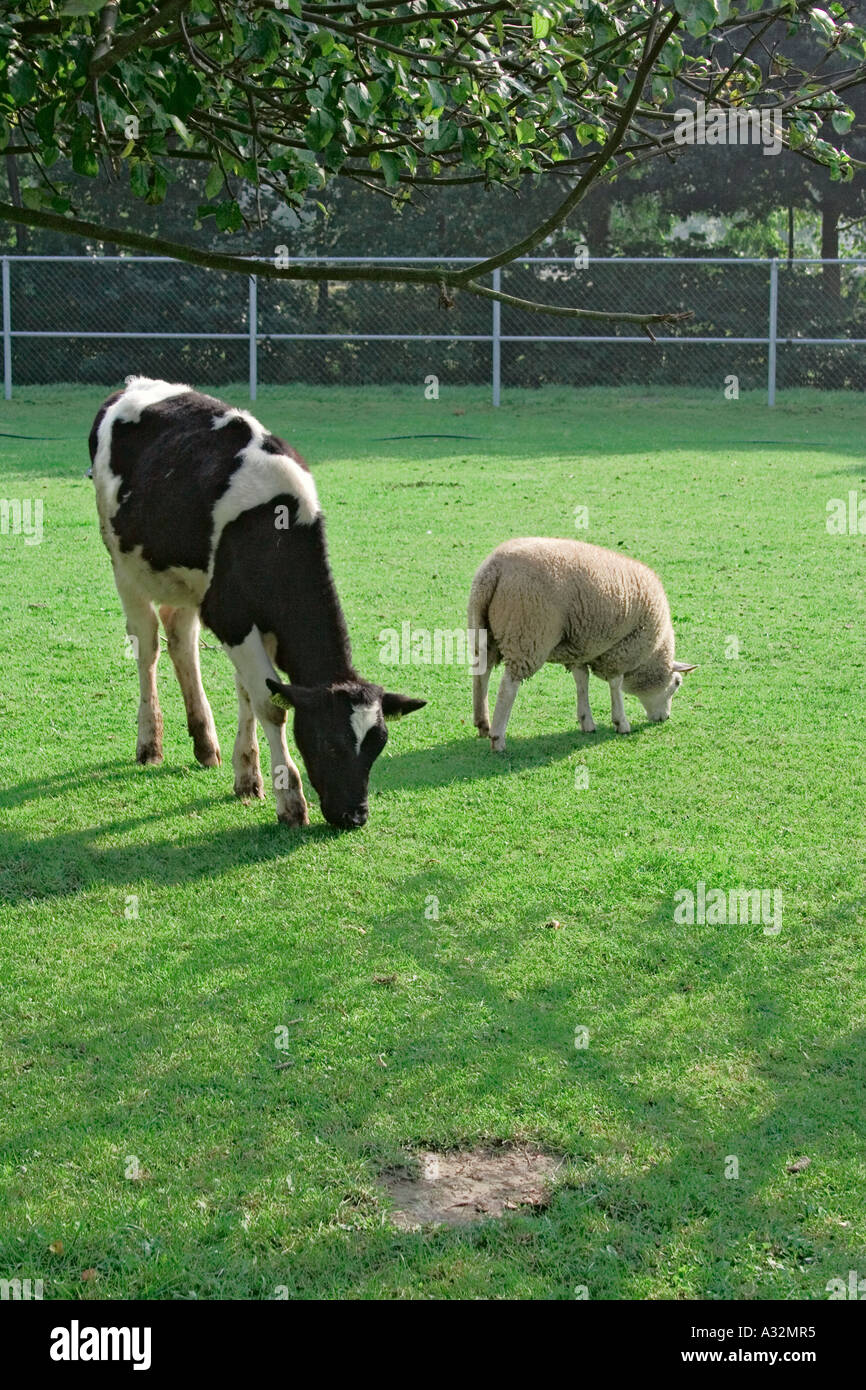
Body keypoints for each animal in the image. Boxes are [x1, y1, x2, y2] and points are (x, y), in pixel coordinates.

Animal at [89, 376, 425, 828]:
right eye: (331, 743)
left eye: (377, 747)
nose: (355, 816)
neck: (276, 528)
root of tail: (134, 385)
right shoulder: (232, 615)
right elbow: (270, 705)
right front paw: (290, 801)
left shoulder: (243, 616)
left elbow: (249, 691)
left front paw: (247, 775)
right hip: (125, 567)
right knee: (148, 647)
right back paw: (149, 743)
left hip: (191, 584)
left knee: (181, 641)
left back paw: (204, 741)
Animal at [468, 537, 696, 751]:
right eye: (677, 683)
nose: (665, 718)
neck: (651, 655)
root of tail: (495, 568)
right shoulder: (621, 650)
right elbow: (615, 684)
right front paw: (621, 723)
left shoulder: (580, 647)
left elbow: (581, 681)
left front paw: (587, 721)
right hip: (528, 634)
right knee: (508, 687)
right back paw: (498, 738)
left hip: (483, 630)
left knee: (481, 674)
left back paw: (483, 723)